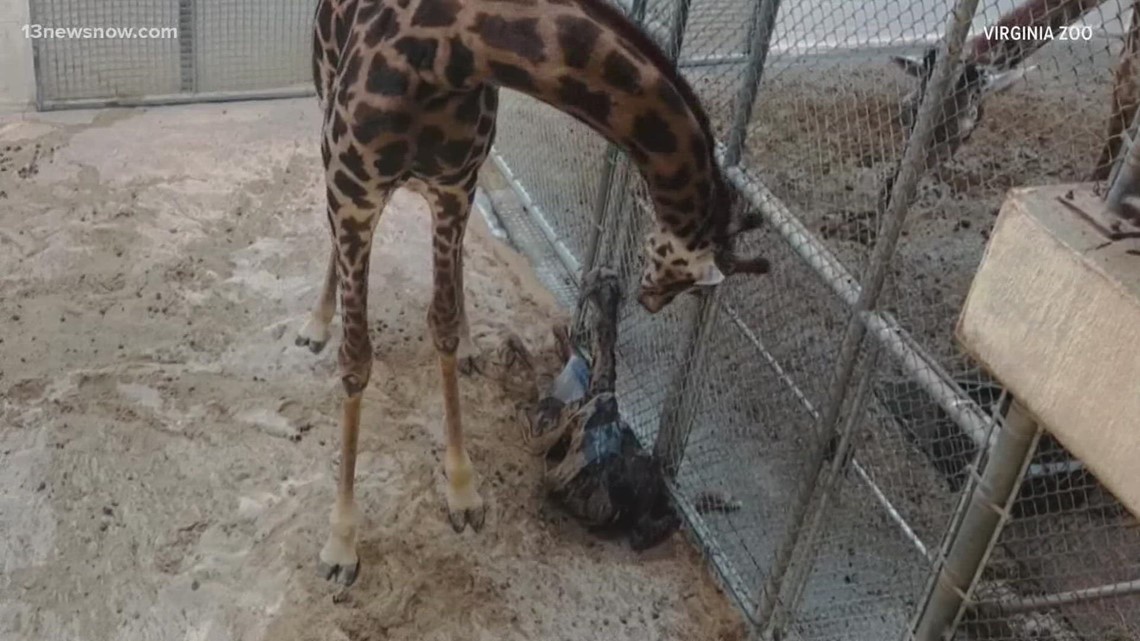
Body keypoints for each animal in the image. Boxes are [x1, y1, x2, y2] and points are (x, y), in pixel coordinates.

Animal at [297, 0, 771, 586]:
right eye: (687, 278)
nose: (650, 299)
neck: (447, 55)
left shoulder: (453, 183)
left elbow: (442, 324)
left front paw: (463, 491)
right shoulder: (354, 190)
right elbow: (356, 359)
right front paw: (341, 545)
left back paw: (470, 344)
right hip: (329, 120)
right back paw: (318, 322)